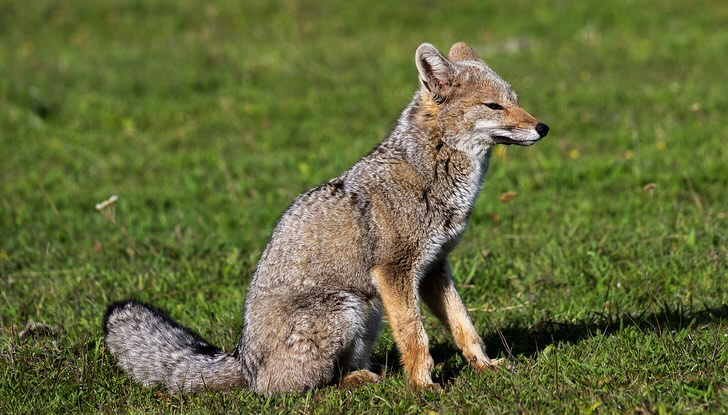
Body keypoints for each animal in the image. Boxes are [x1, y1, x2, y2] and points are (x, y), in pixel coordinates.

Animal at [104, 41, 549, 395]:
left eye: (515, 99)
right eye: (494, 106)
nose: (543, 127)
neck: (435, 174)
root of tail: (243, 358)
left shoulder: (434, 267)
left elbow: (464, 326)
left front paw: (484, 366)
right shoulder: (395, 271)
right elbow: (415, 337)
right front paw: (423, 386)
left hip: (369, 313)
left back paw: (366, 375)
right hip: (345, 307)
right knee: (288, 389)